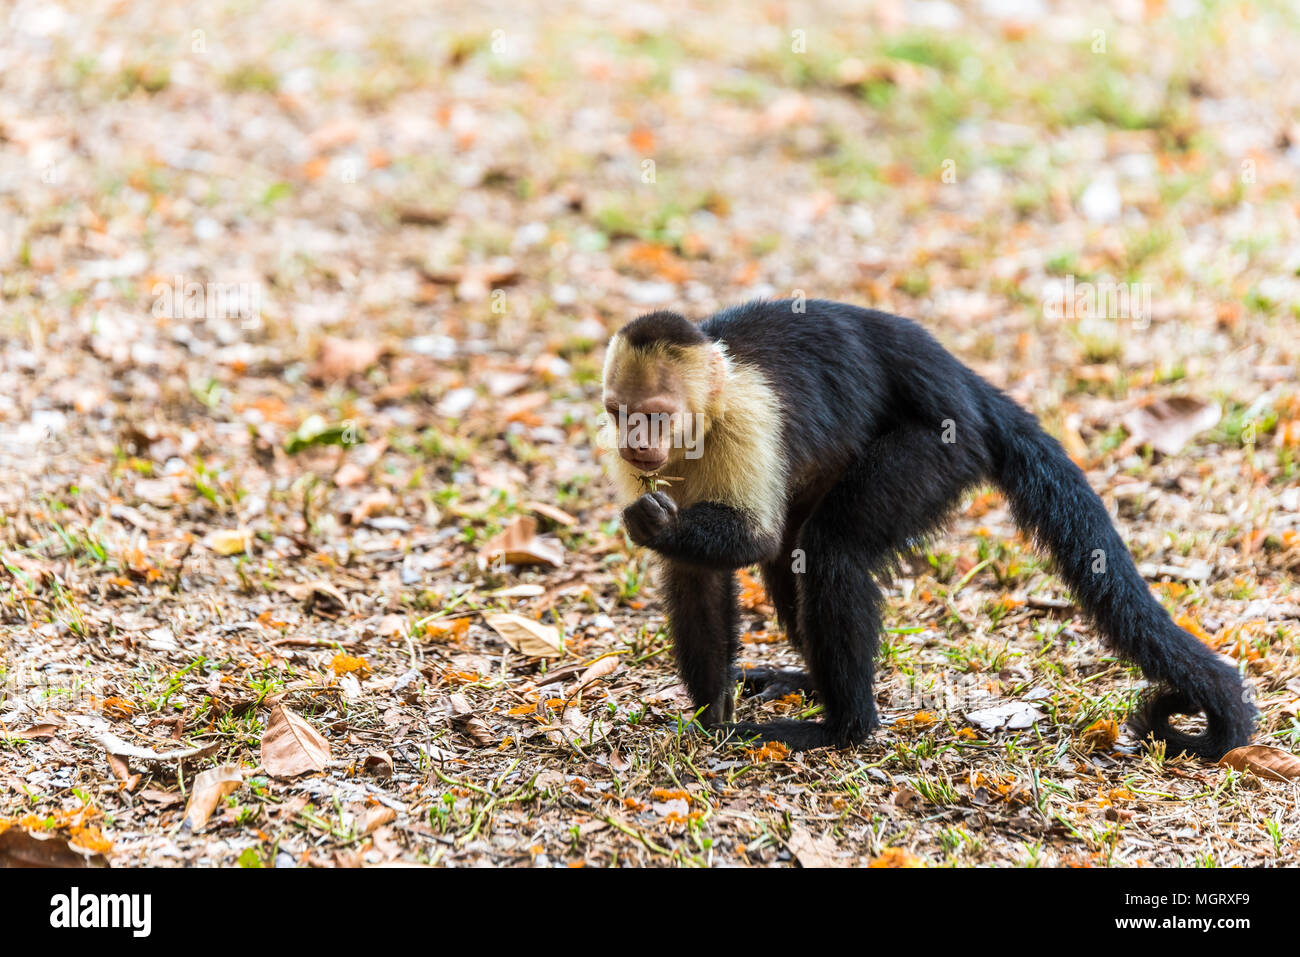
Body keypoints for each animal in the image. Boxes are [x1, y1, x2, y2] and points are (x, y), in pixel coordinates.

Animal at [598, 300, 1256, 759]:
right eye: (620, 415)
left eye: (655, 416)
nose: (635, 441)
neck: (703, 420)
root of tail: (959, 377)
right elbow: (694, 573)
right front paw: (712, 716)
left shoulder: (748, 417)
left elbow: (753, 537)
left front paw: (654, 522)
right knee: (793, 556)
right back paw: (809, 683)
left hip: (945, 442)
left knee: (827, 546)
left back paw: (844, 727)